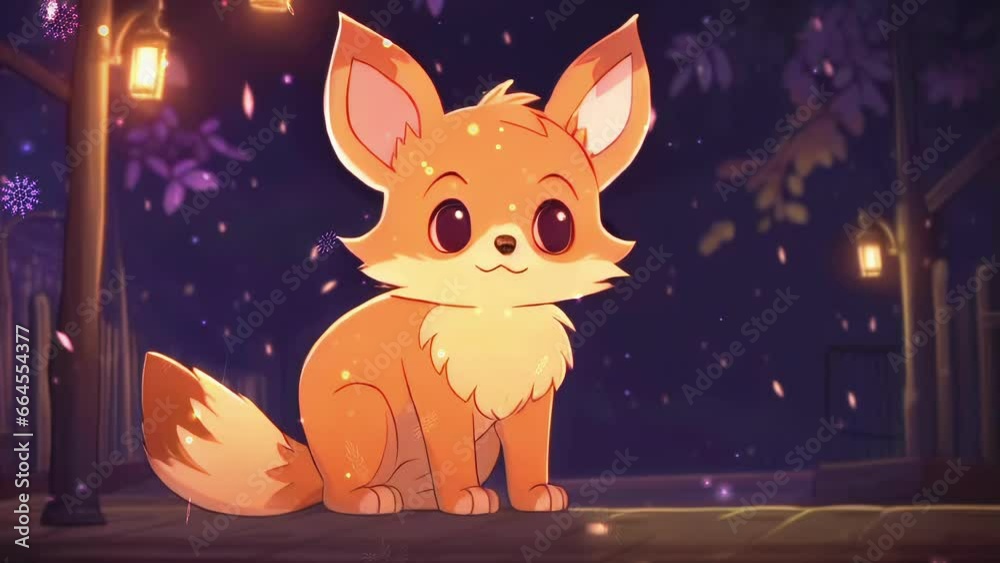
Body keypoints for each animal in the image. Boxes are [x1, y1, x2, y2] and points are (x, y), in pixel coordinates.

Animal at [141, 12, 650, 516]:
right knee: (339, 494)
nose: (506, 243)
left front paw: (535, 496)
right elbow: (450, 449)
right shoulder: (437, 395)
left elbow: (530, 452)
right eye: (451, 223)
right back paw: (377, 499)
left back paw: (421, 500)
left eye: (556, 224)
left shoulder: (532, 397)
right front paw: (464, 499)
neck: (494, 320)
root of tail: (316, 467)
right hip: (367, 415)